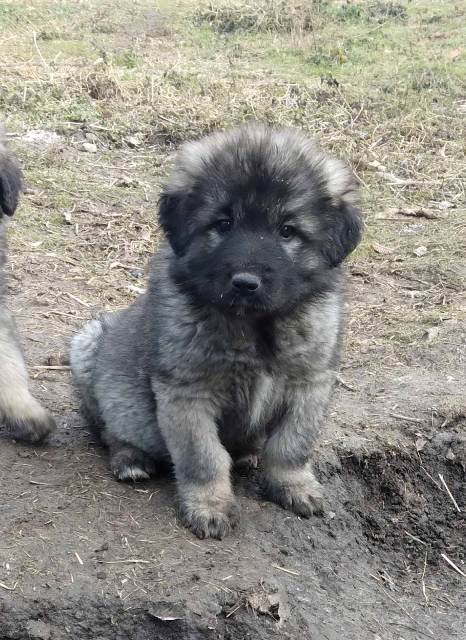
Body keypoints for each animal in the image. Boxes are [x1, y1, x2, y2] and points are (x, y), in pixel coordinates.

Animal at [71, 124, 364, 540]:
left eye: (287, 231)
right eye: (224, 224)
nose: (245, 283)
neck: (256, 327)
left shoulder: (311, 380)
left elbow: (291, 445)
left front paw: (292, 485)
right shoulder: (187, 391)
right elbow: (203, 457)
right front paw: (209, 505)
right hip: (88, 347)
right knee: (108, 430)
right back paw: (131, 458)